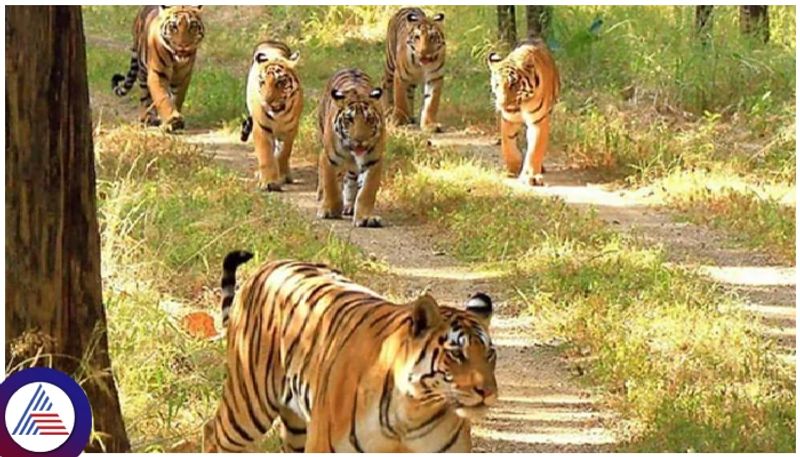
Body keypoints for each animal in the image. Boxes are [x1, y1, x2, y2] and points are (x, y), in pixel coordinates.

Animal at [203, 251, 498, 452]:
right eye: (456, 354)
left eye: (490, 355)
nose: (488, 393)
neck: (411, 414)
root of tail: (268, 265)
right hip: (247, 406)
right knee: (213, 433)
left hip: (296, 426)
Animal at [239, 41, 303, 192]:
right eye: (262, 82)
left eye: (280, 82)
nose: (266, 102)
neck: (278, 114)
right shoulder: (261, 128)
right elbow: (266, 155)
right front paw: (269, 182)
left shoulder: (291, 130)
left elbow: (284, 153)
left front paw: (281, 175)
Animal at [317, 69, 386, 228]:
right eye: (349, 119)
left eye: (369, 119)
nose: (359, 140)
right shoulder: (329, 159)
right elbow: (331, 185)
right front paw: (330, 210)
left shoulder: (374, 161)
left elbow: (367, 190)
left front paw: (365, 217)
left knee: (350, 179)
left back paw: (349, 206)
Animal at [487, 38, 560, 186]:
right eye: (497, 84)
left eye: (513, 84)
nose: (502, 104)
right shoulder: (508, 119)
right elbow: (507, 144)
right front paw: (512, 169)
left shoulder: (538, 121)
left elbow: (535, 149)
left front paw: (531, 176)